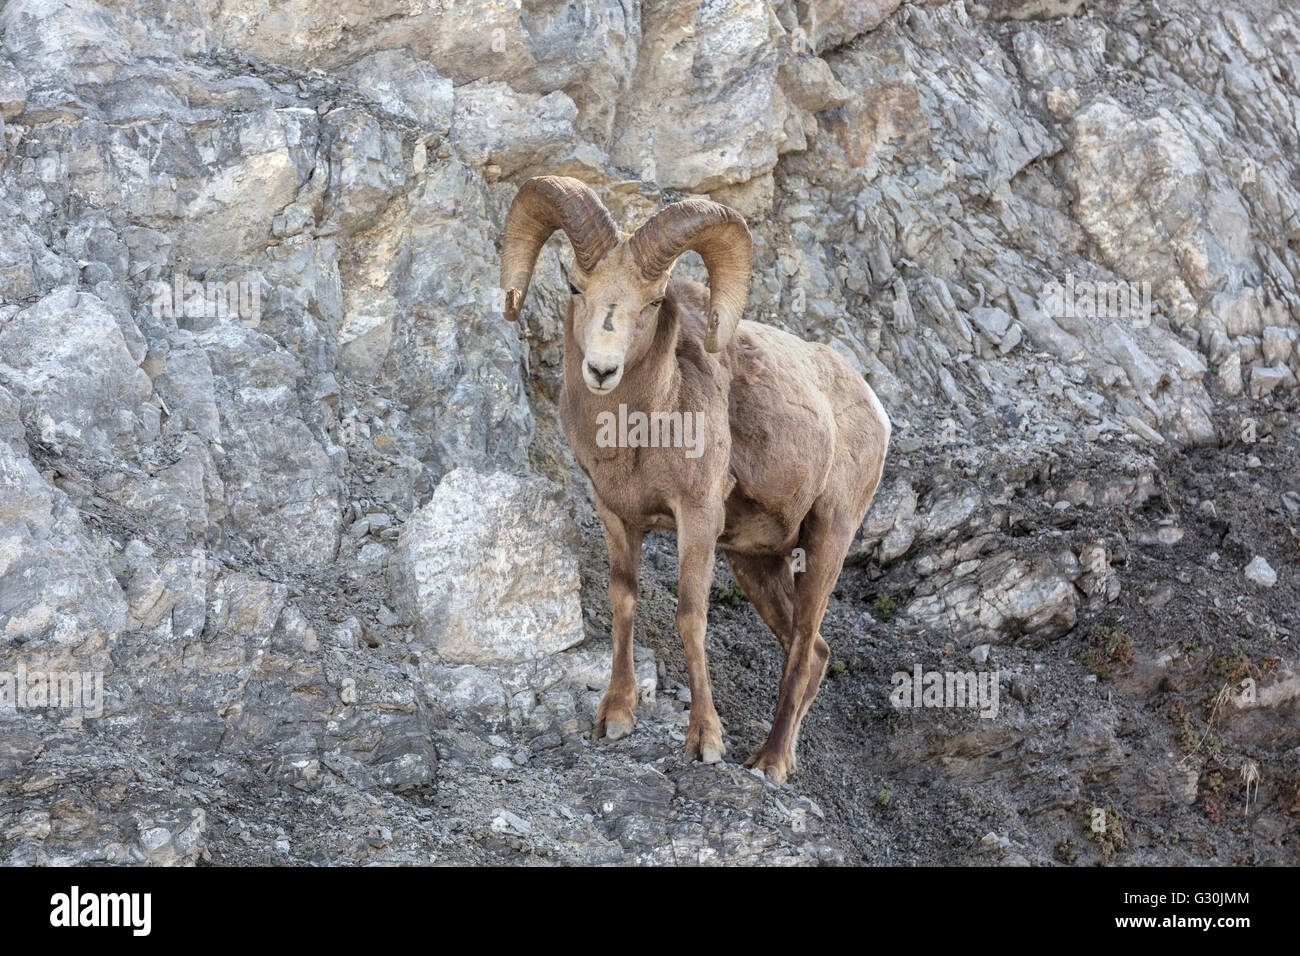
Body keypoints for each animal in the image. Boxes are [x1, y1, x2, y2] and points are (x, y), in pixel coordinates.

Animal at [500, 176, 890, 782]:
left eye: (654, 301)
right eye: (574, 288)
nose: (602, 370)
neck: (637, 429)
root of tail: (873, 406)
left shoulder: (698, 515)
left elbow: (690, 616)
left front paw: (705, 741)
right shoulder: (617, 515)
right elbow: (623, 599)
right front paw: (614, 717)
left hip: (830, 536)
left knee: (804, 645)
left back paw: (769, 763)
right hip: (754, 563)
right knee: (818, 651)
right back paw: (783, 756)